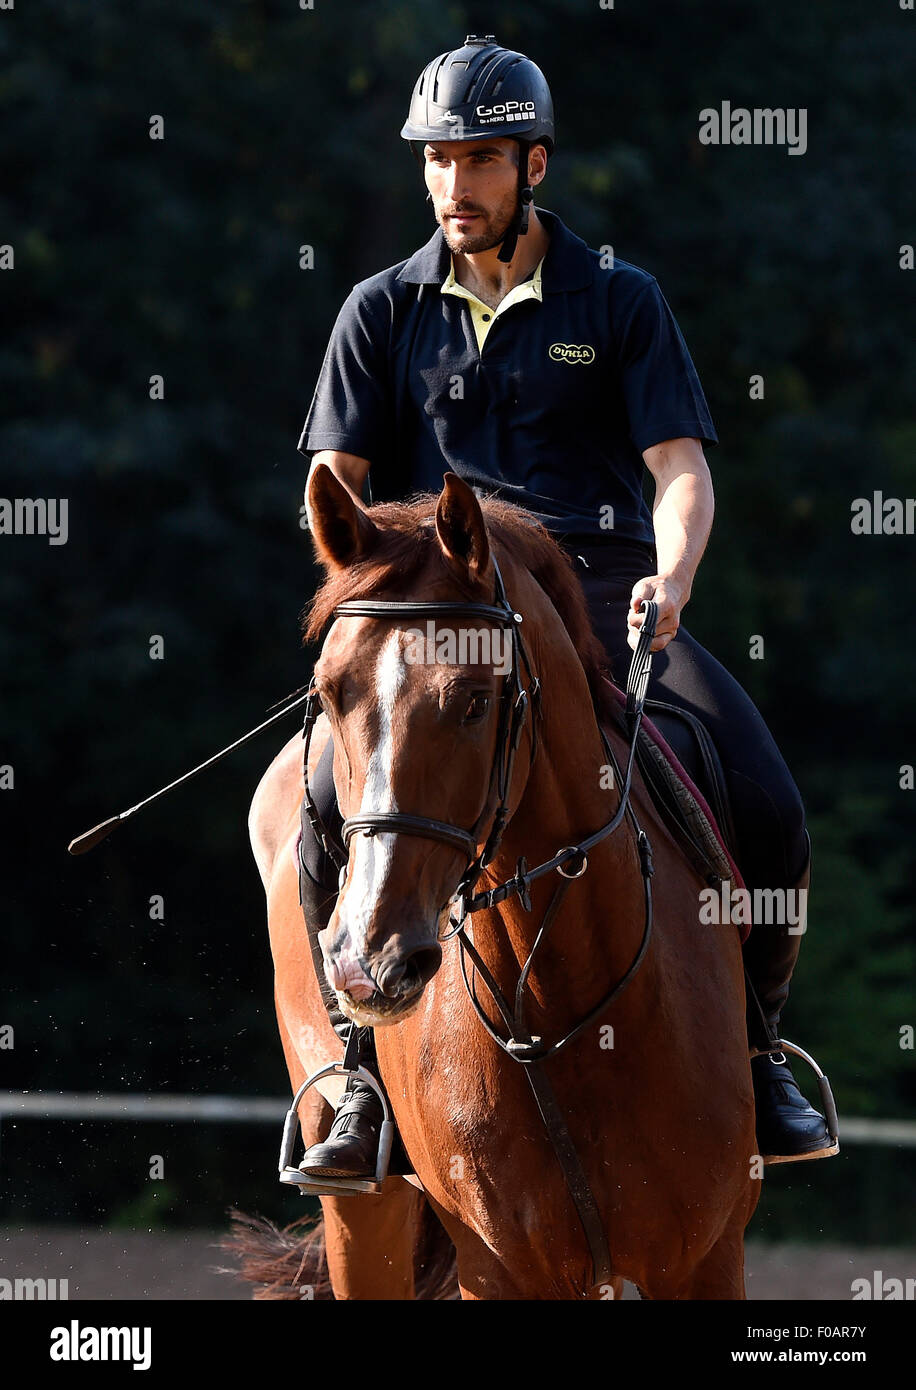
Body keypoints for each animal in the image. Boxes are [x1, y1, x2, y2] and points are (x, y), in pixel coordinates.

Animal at [239, 465, 759, 1300]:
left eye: (476, 699)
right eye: (330, 691)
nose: (369, 961)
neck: (553, 1003)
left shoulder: (706, 1258)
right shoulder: (499, 1267)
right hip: (363, 1213)